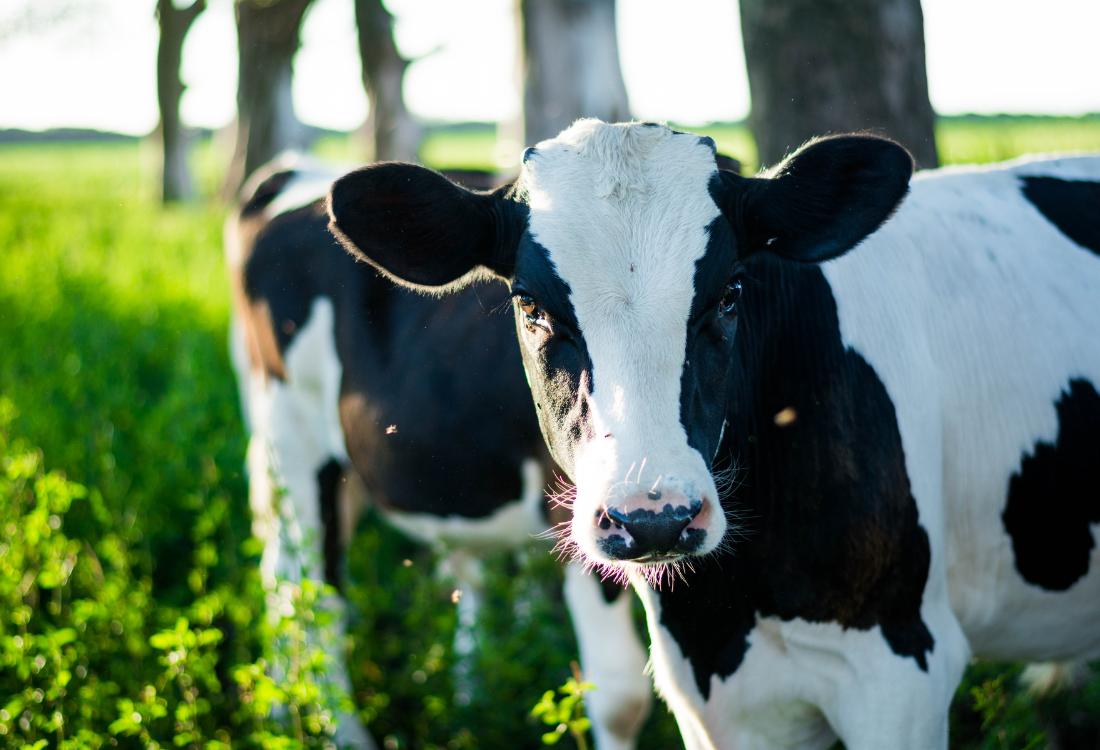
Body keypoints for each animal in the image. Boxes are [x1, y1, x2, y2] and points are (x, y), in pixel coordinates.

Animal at [225, 154, 654, 750]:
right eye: (535, 304)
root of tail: (296, 169)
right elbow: (621, 696)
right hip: (294, 439)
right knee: (314, 591)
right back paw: (337, 730)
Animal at [326, 119, 1100, 750]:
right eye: (532, 306)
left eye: (730, 294)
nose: (654, 517)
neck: (731, 608)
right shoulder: (711, 692)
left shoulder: (900, 671)